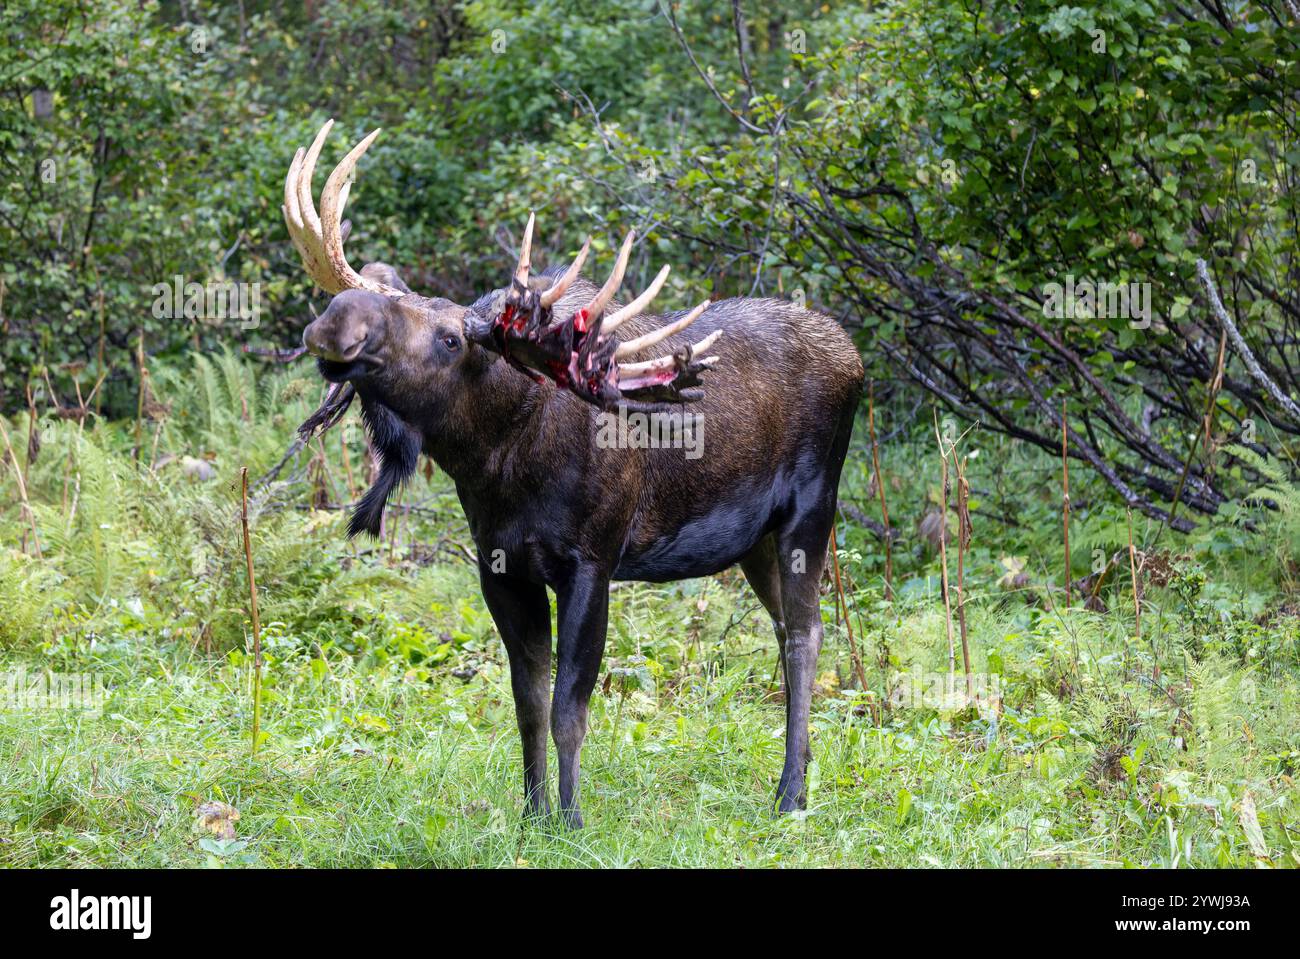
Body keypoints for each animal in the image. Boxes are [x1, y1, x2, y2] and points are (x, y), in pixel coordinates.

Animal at [281, 121, 864, 827]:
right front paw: (532, 815)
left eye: (451, 338)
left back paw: (792, 794)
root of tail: (855, 356)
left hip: (811, 509)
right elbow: (527, 702)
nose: (337, 318)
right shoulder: (500, 565)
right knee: (786, 627)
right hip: (753, 540)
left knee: (806, 633)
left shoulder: (592, 560)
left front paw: (572, 818)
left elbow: (568, 708)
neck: (497, 465)